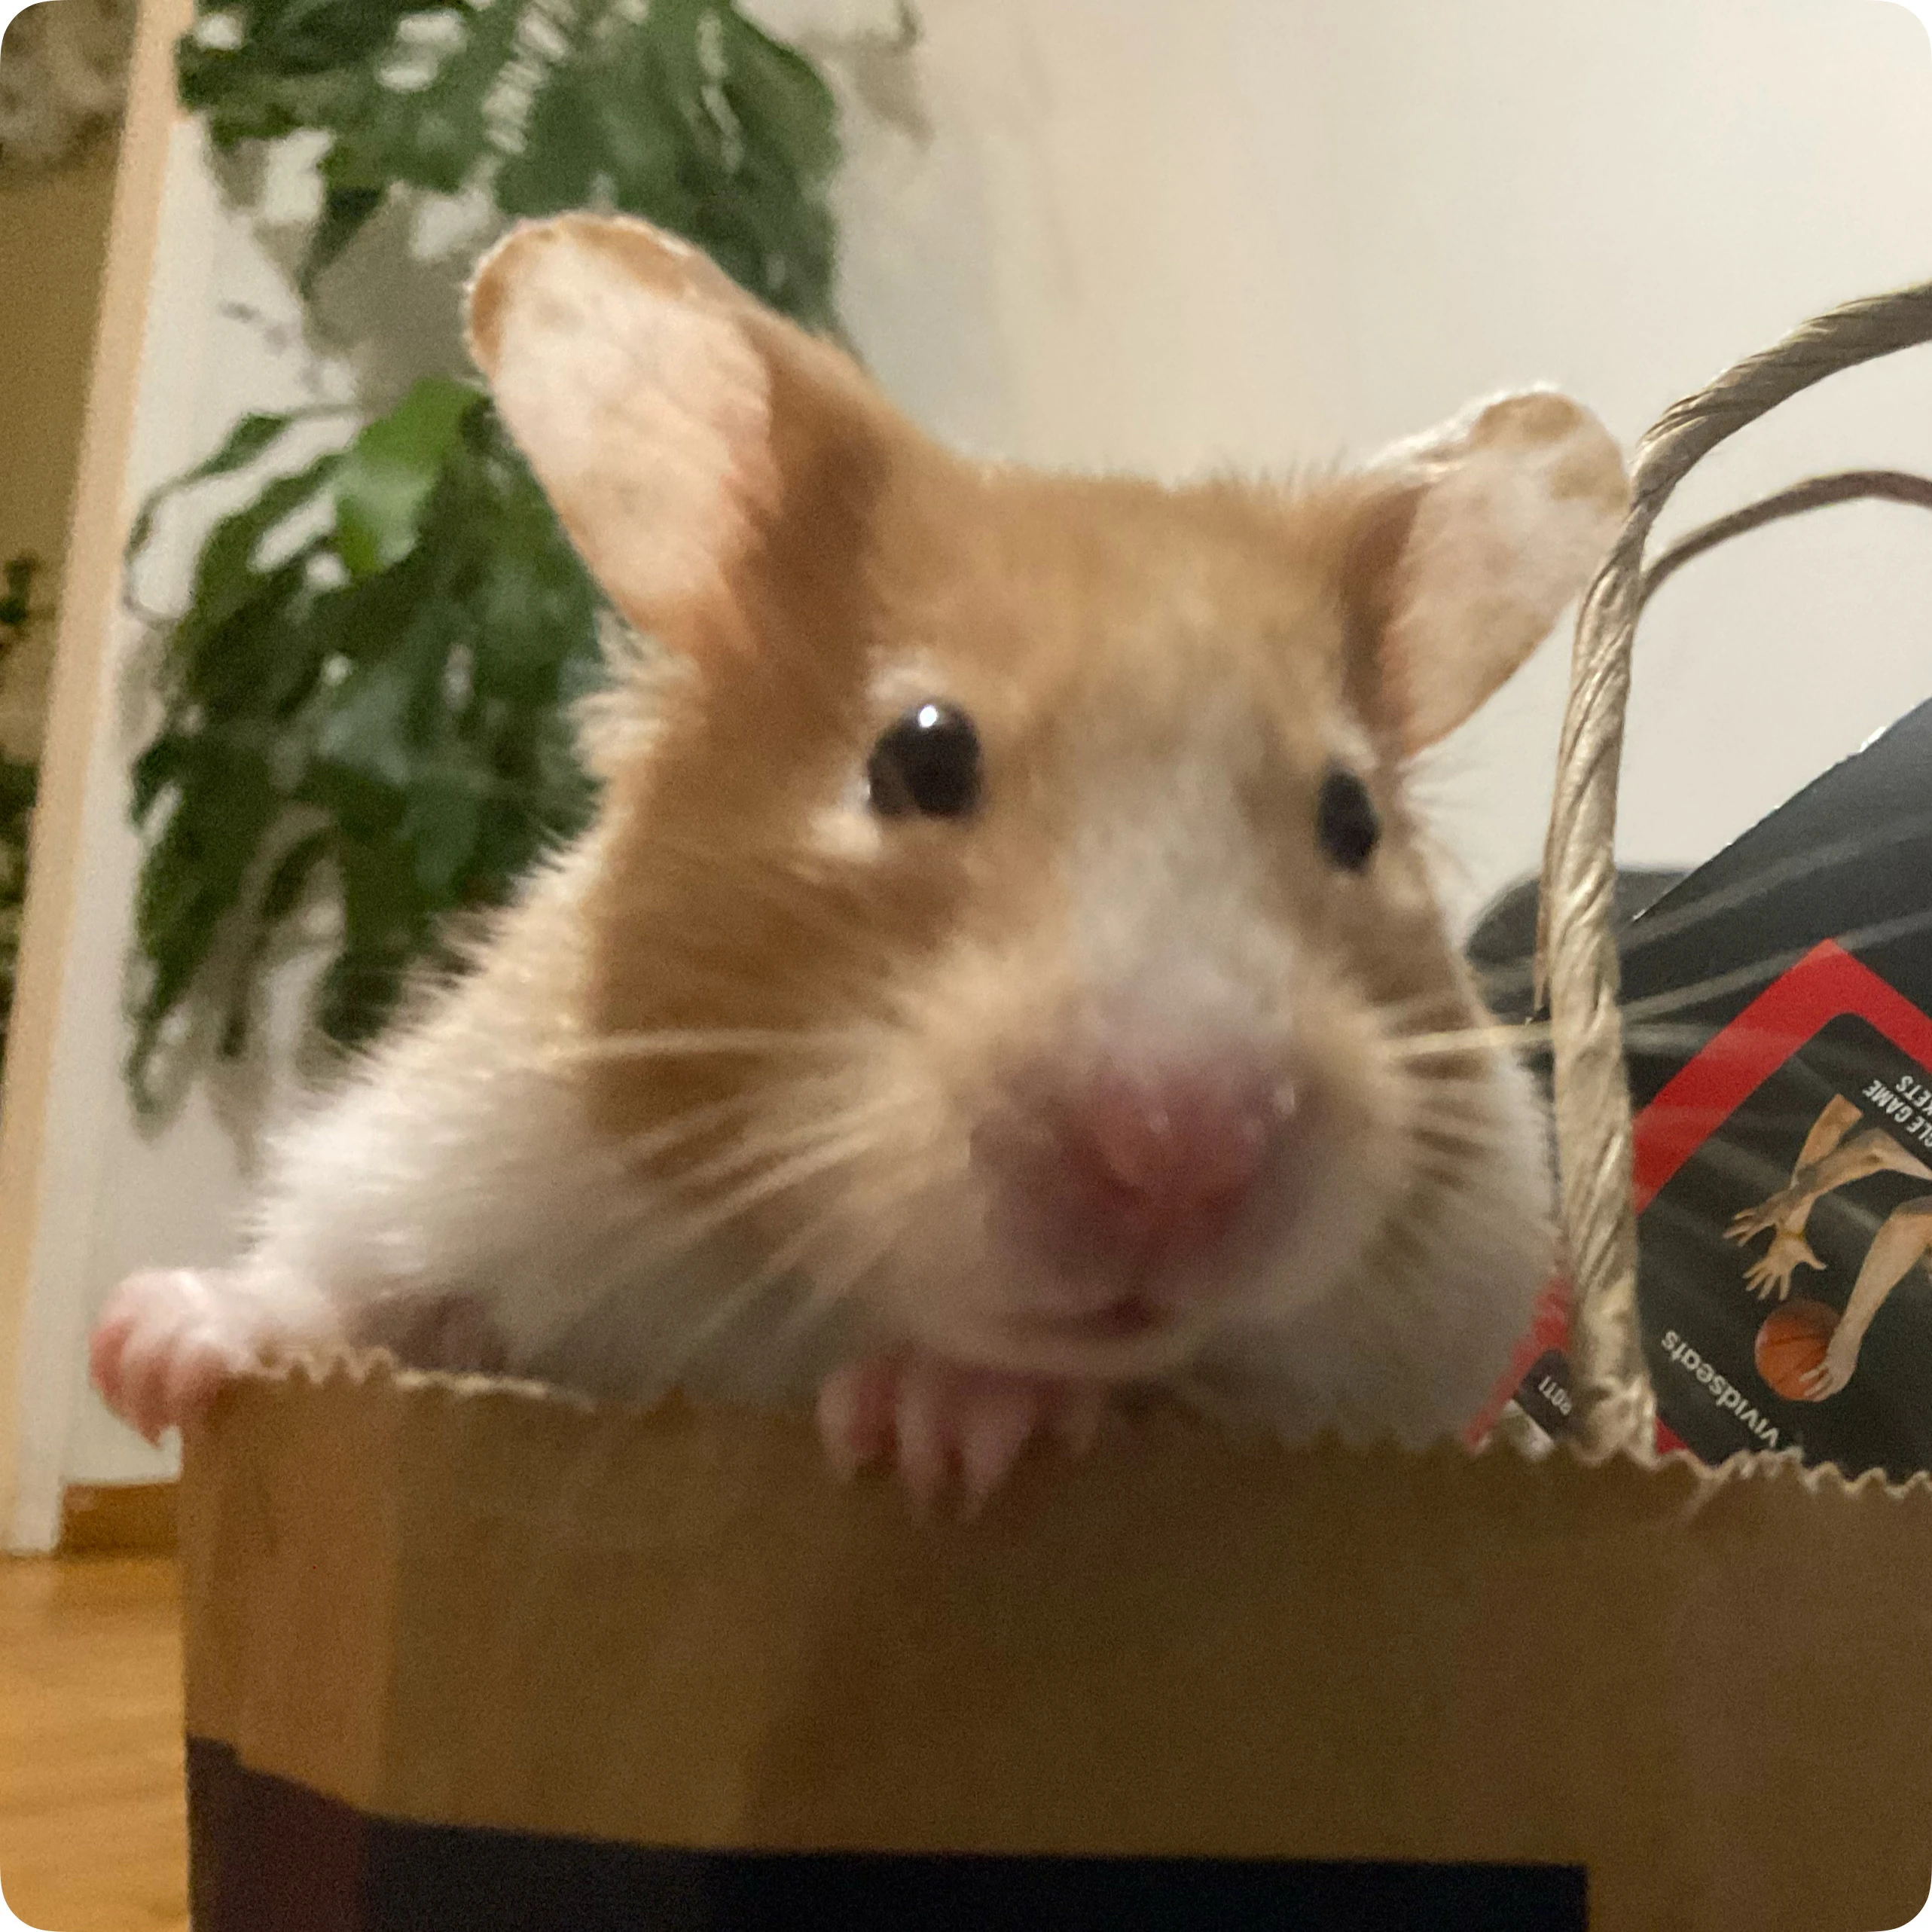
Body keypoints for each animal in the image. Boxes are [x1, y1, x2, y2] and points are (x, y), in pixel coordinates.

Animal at [91, 212, 1628, 1511]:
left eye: (1352, 822)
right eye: (920, 760)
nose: (1180, 1161)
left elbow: (1161, 1385)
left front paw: (932, 1425)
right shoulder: (435, 1158)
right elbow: (354, 1293)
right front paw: (150, 1345)